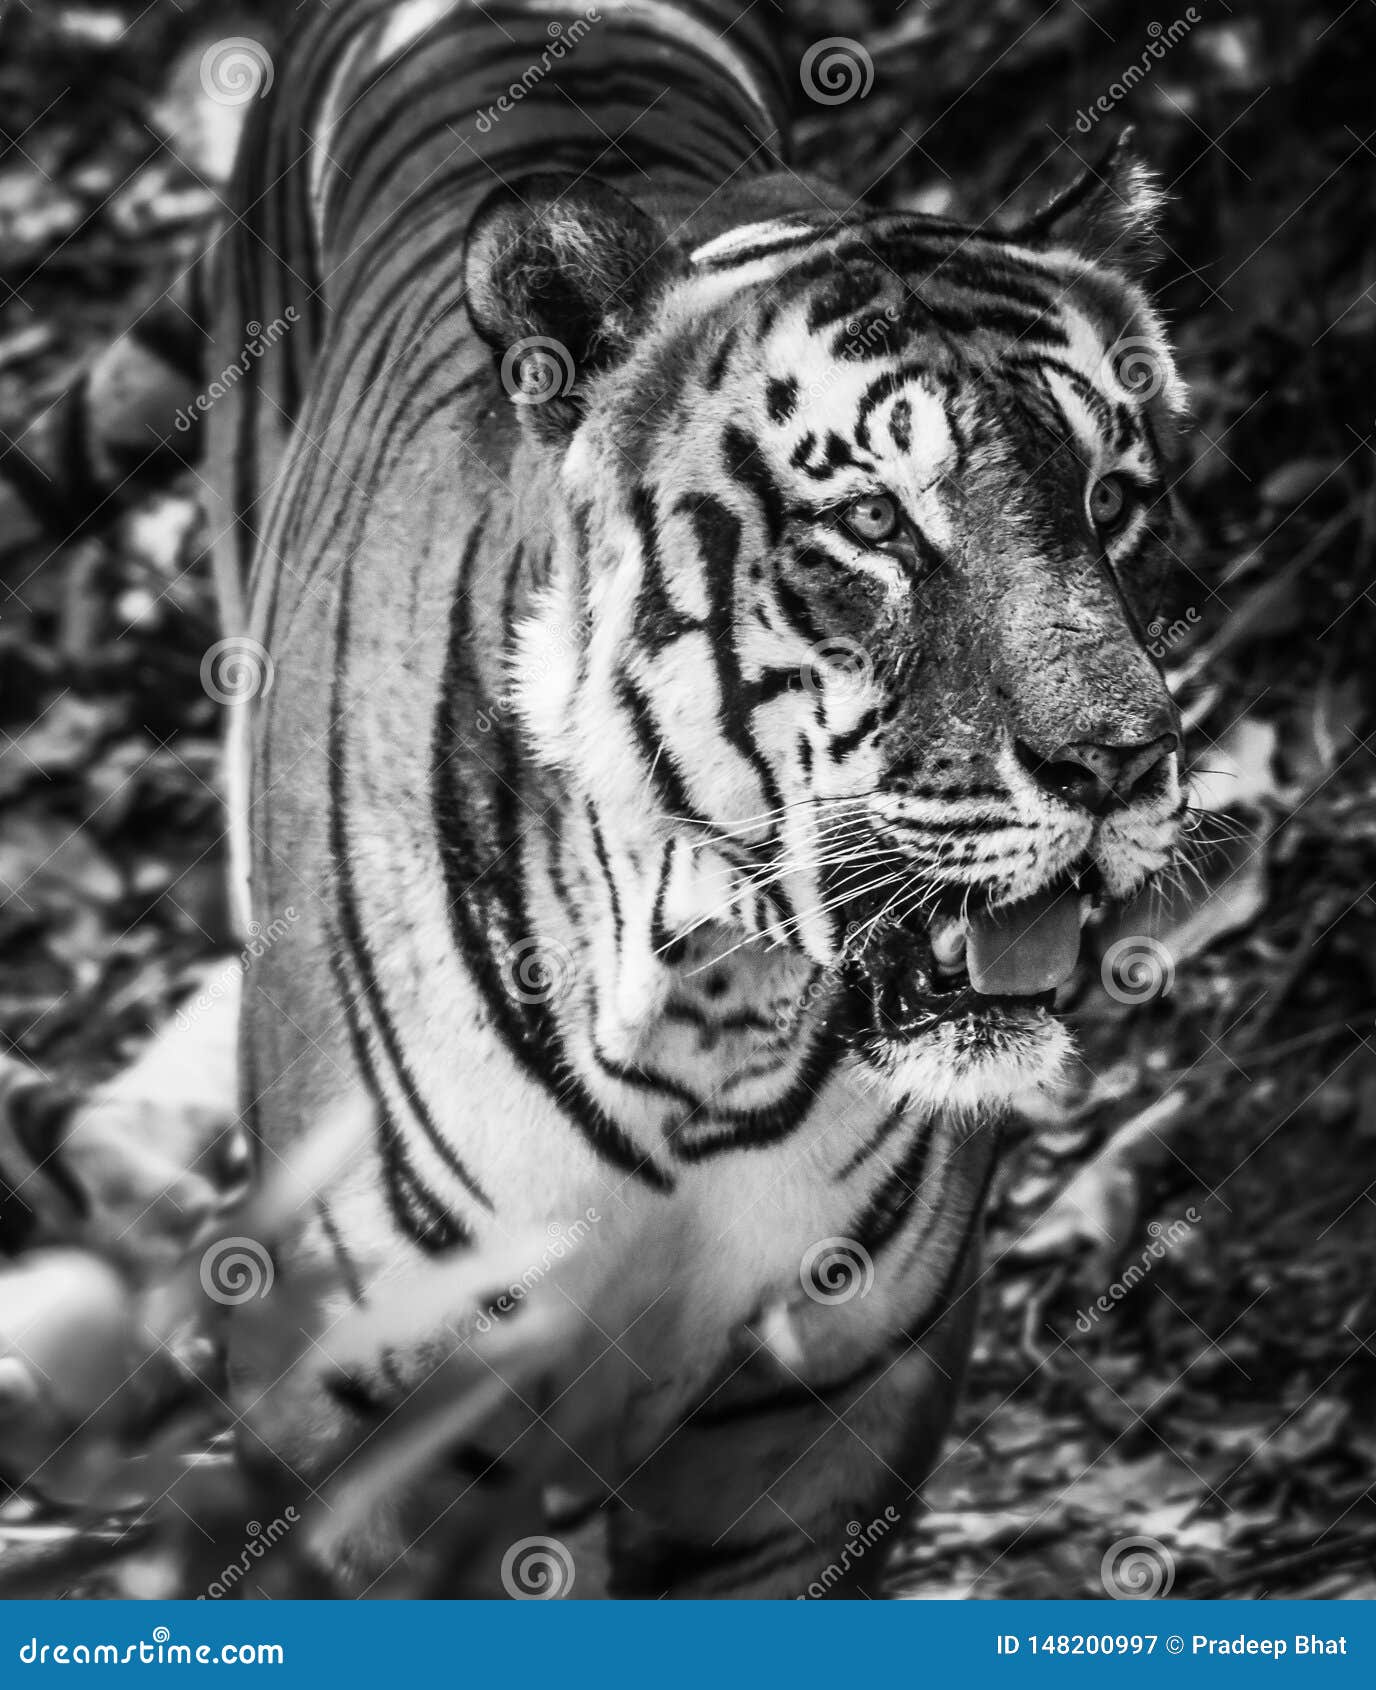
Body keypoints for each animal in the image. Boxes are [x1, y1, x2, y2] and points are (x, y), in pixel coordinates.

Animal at [0, 0, 1187, 1598]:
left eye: (1110, 497)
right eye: (872, 519)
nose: (1124, 760)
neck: (713, 1023)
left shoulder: (811, 1446)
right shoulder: (362, 1458)